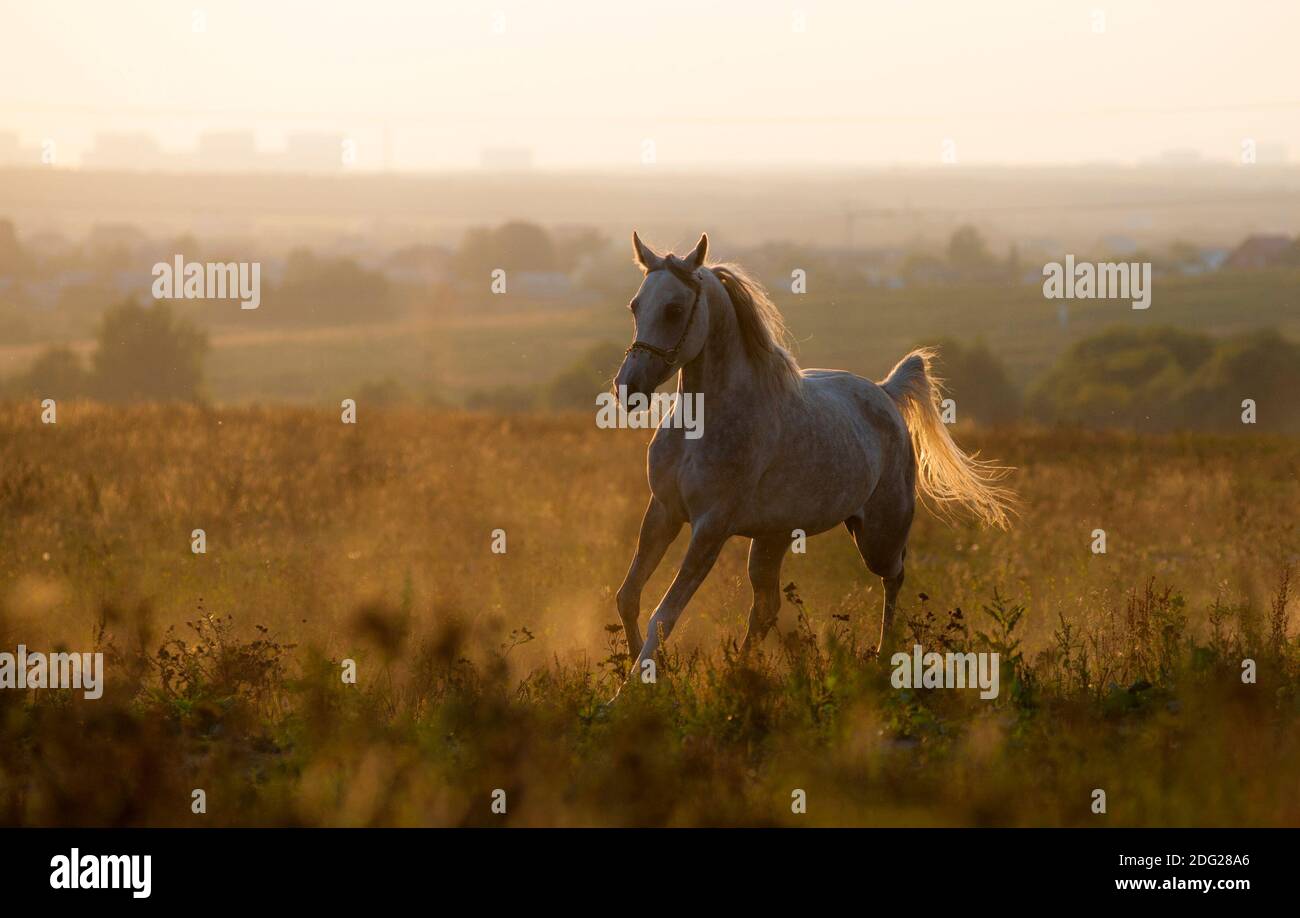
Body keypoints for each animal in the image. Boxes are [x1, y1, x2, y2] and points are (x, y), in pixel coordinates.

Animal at [612, 232, 1014, 689]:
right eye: (635, 305)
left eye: (675, 309)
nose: (628, 388)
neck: (703, 425)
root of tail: (885, 391)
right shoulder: (664, 511)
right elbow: (629, 596)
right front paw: (634, 670)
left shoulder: (709, 528)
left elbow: (664, 615)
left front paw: (626, 694)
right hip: (773, 539)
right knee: (765, 609)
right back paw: (740, 674)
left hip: (878, 536)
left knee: (893, 577)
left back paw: (882, 658)